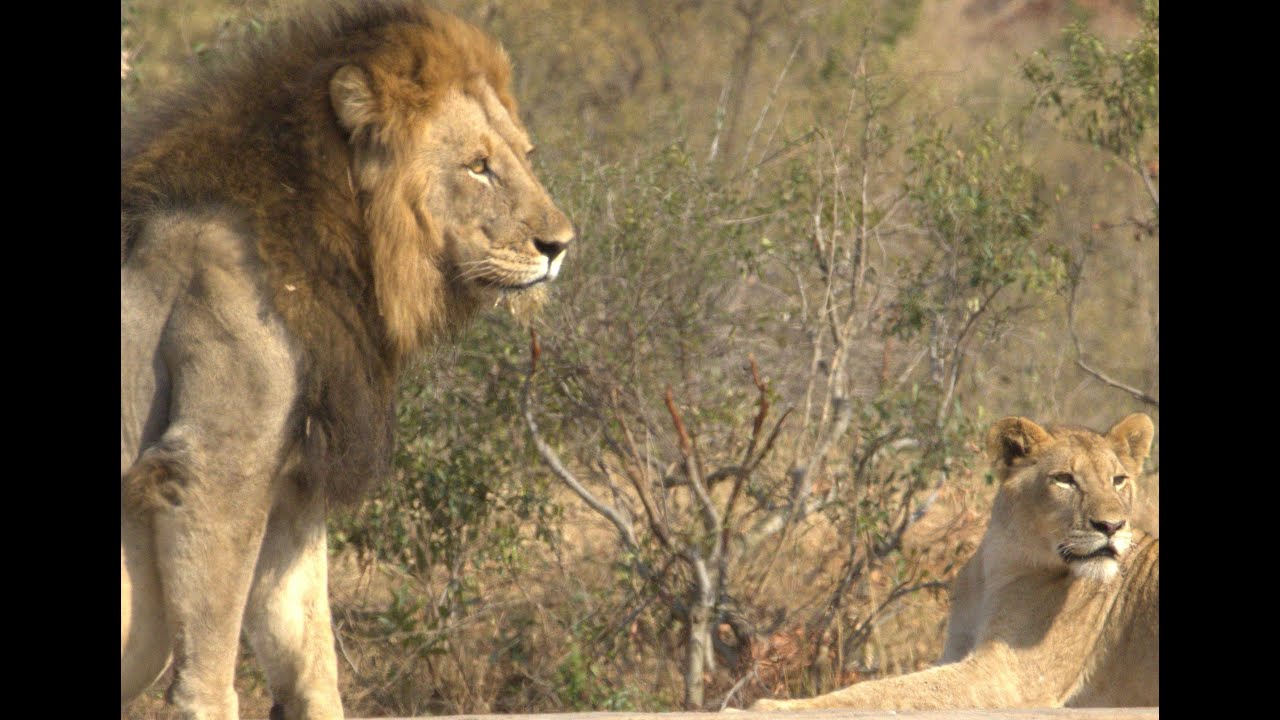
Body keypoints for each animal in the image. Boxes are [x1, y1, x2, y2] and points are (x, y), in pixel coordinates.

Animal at [120, 3, 573, 718]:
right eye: (477, 166)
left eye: (524, 157)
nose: (561, 245)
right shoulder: (213, 470)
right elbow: (210, 674)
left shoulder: (295, 484)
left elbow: (310, 657)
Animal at [748, 413, 1158, 710]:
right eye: (1065, 480)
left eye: (1118, 480)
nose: (1112, 526)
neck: (998, 564)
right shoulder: (957, 654)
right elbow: (897, 686)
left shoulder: (1009, 679)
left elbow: (884, 692)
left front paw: (770, 707)